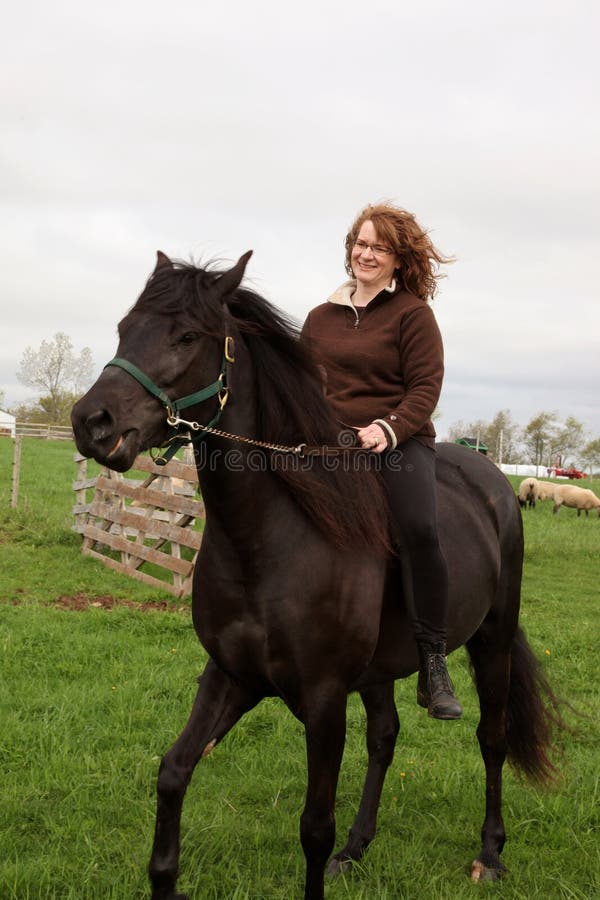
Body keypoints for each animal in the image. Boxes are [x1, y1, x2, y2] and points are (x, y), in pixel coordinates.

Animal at [71, 251, 560, 900]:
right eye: (126, 328)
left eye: (187, 336)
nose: (90, 422)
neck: (269, 539)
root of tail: (495, 481)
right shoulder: (231, 676)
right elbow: (174, 771)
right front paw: (166, 878)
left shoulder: (324, 700)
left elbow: (313, 826)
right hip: (382, 671)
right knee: (385, 738)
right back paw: (356, 850)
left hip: (493, 642)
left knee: (492, 737)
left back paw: (490, 853)